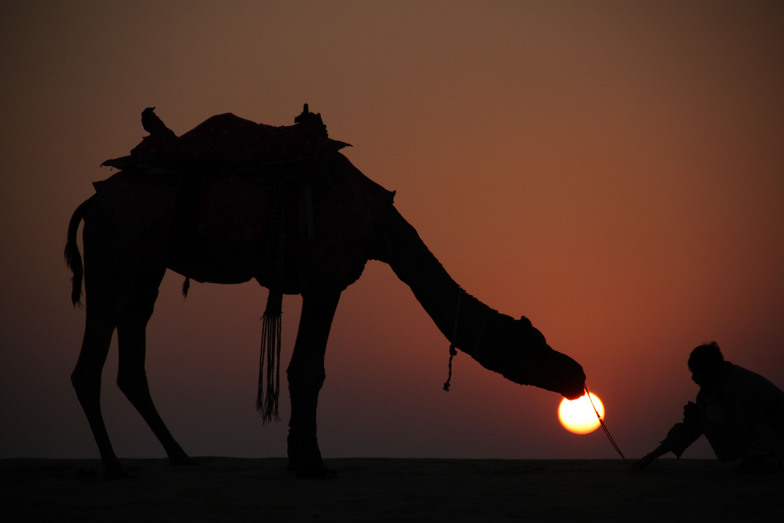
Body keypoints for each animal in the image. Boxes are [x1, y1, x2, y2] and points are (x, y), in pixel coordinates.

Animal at [66, 105, 580, 478]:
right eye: (535, 344)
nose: (577, 376)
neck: (382, 228)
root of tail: (91, 200)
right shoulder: (328, 274)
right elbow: (309, 369)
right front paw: (312, 464)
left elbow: (303, 367)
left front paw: (299, 458)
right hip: (116, 253)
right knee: (93, 355)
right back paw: (114, 466)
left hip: (143, 267)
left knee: (131, 350)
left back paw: (179, 454)